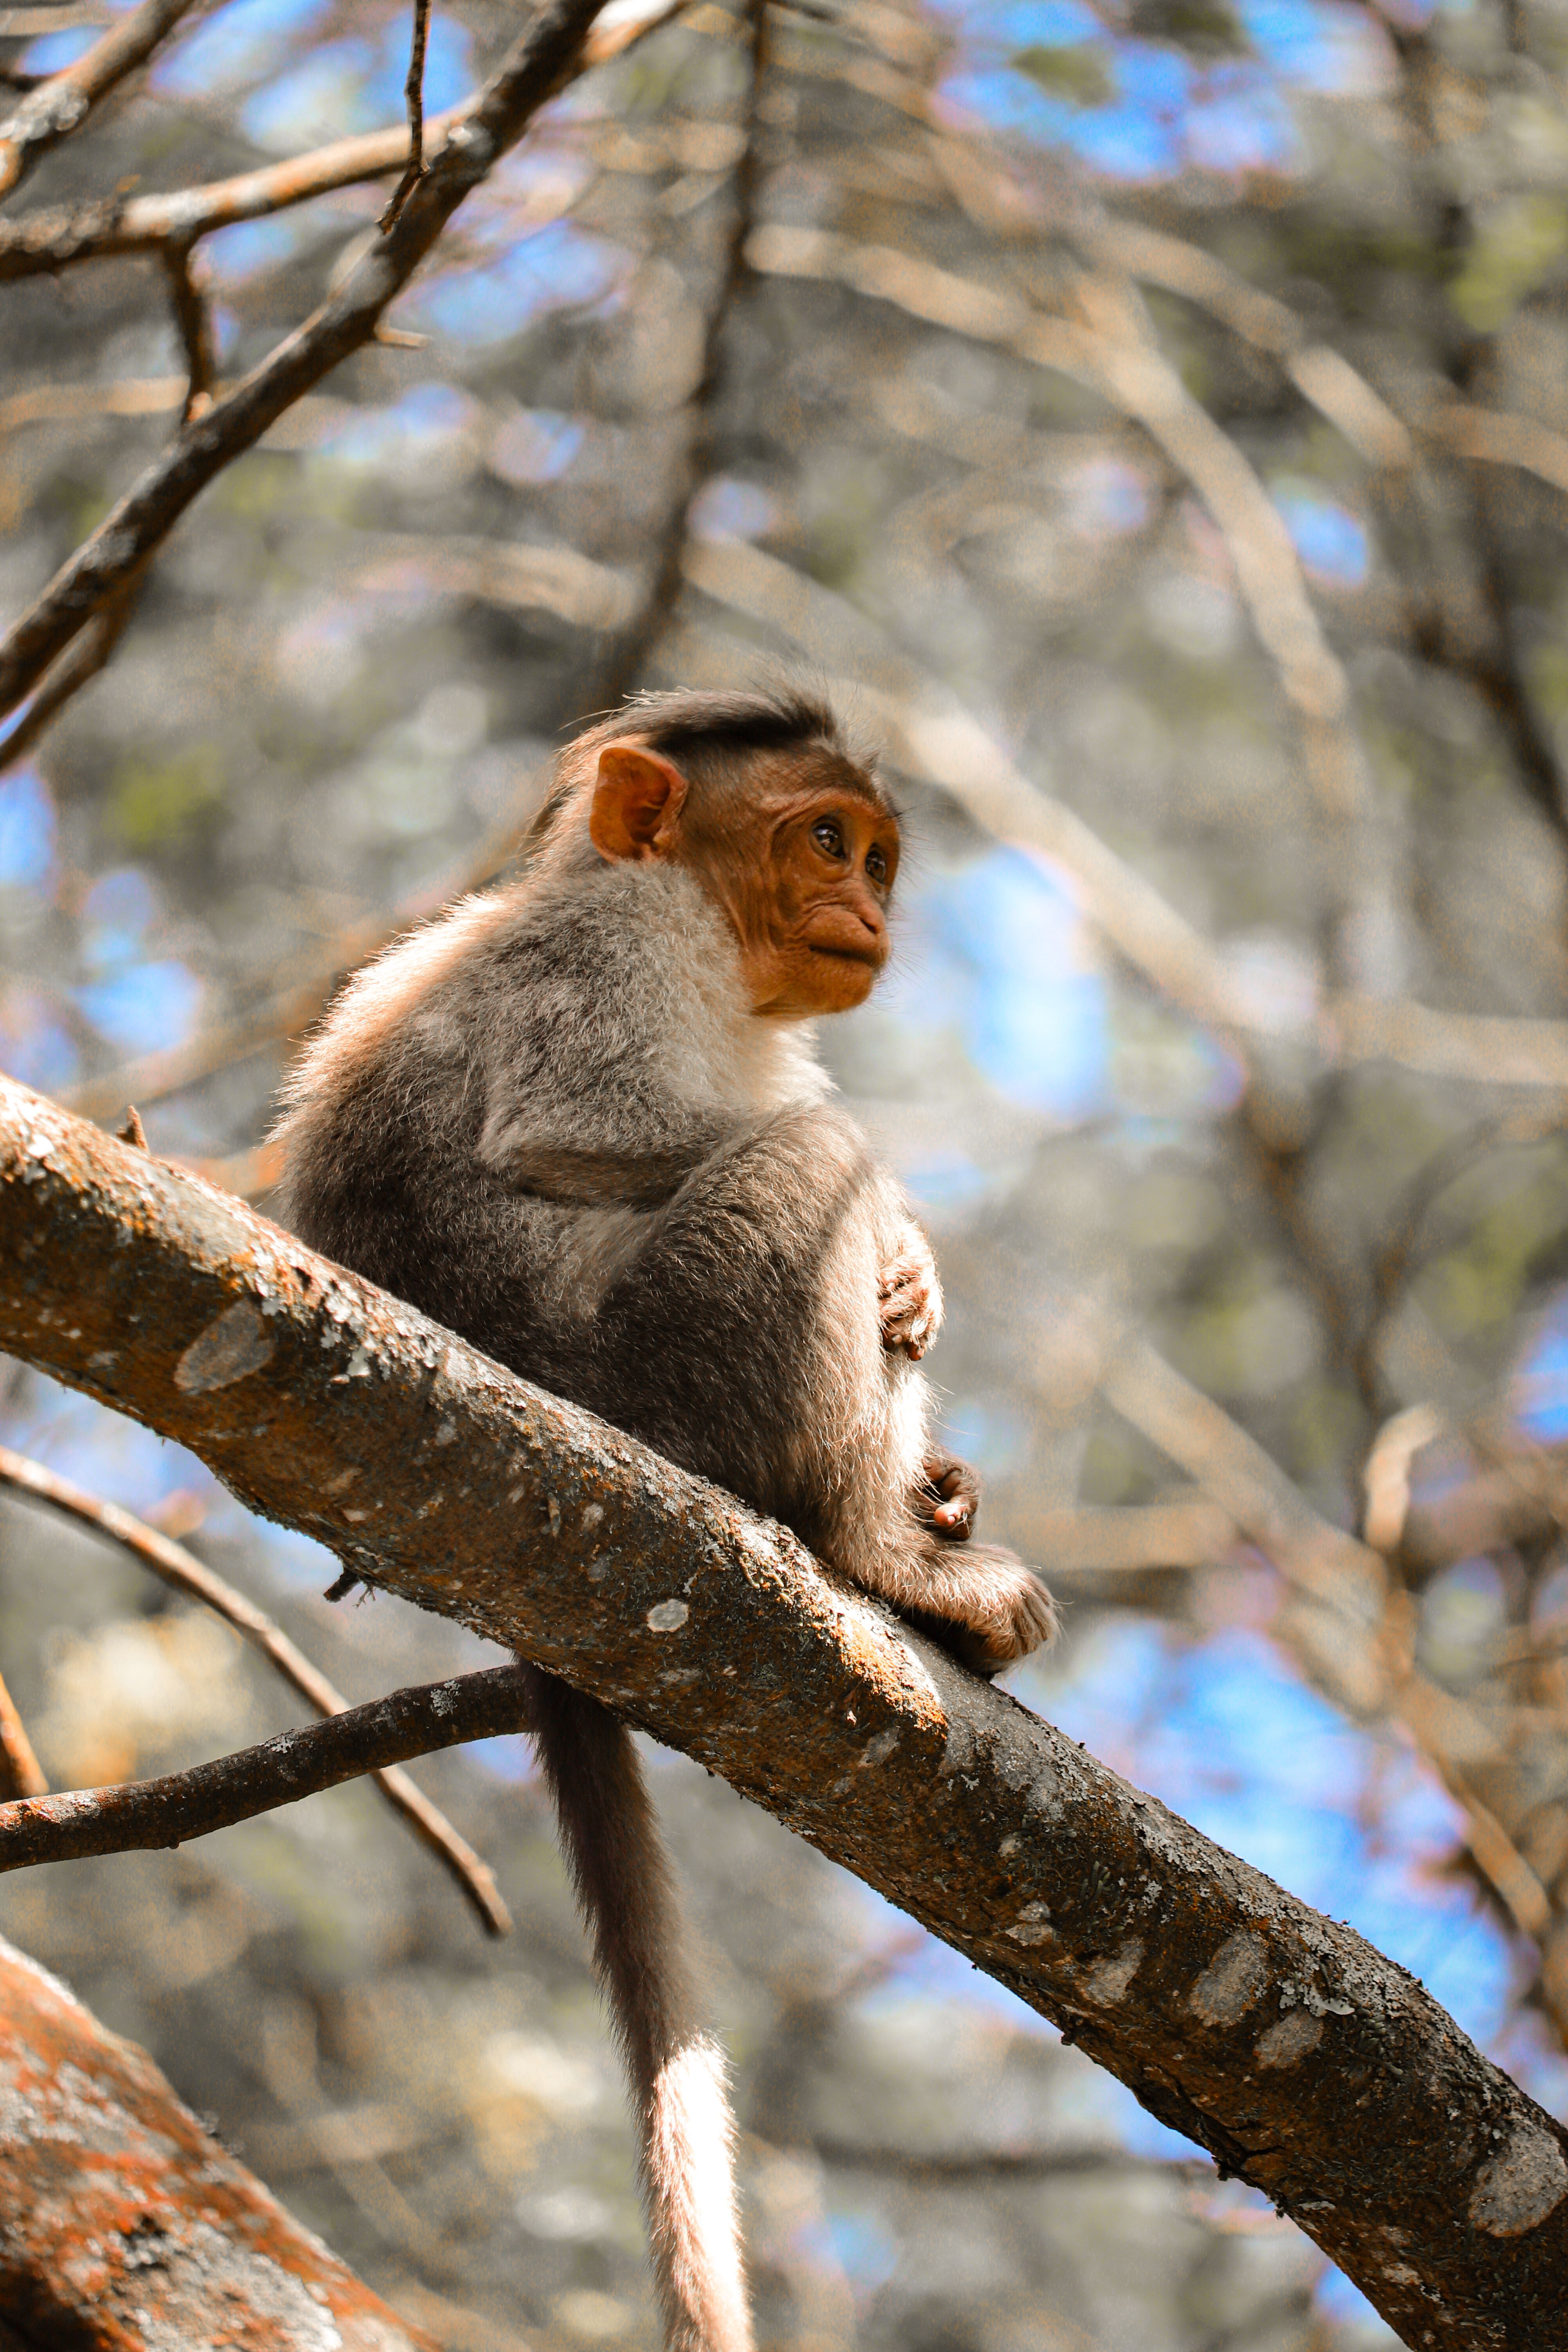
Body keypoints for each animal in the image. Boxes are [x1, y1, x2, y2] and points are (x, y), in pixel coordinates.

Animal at [272, 685, 1057, 2352]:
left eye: (877, 856)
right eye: (821, 839)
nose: (867, 910)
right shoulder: (607, 963)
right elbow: (588, 1132)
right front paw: (907, 1241)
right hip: (666, 1361)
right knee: (812, 1160)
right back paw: (892, 1558)